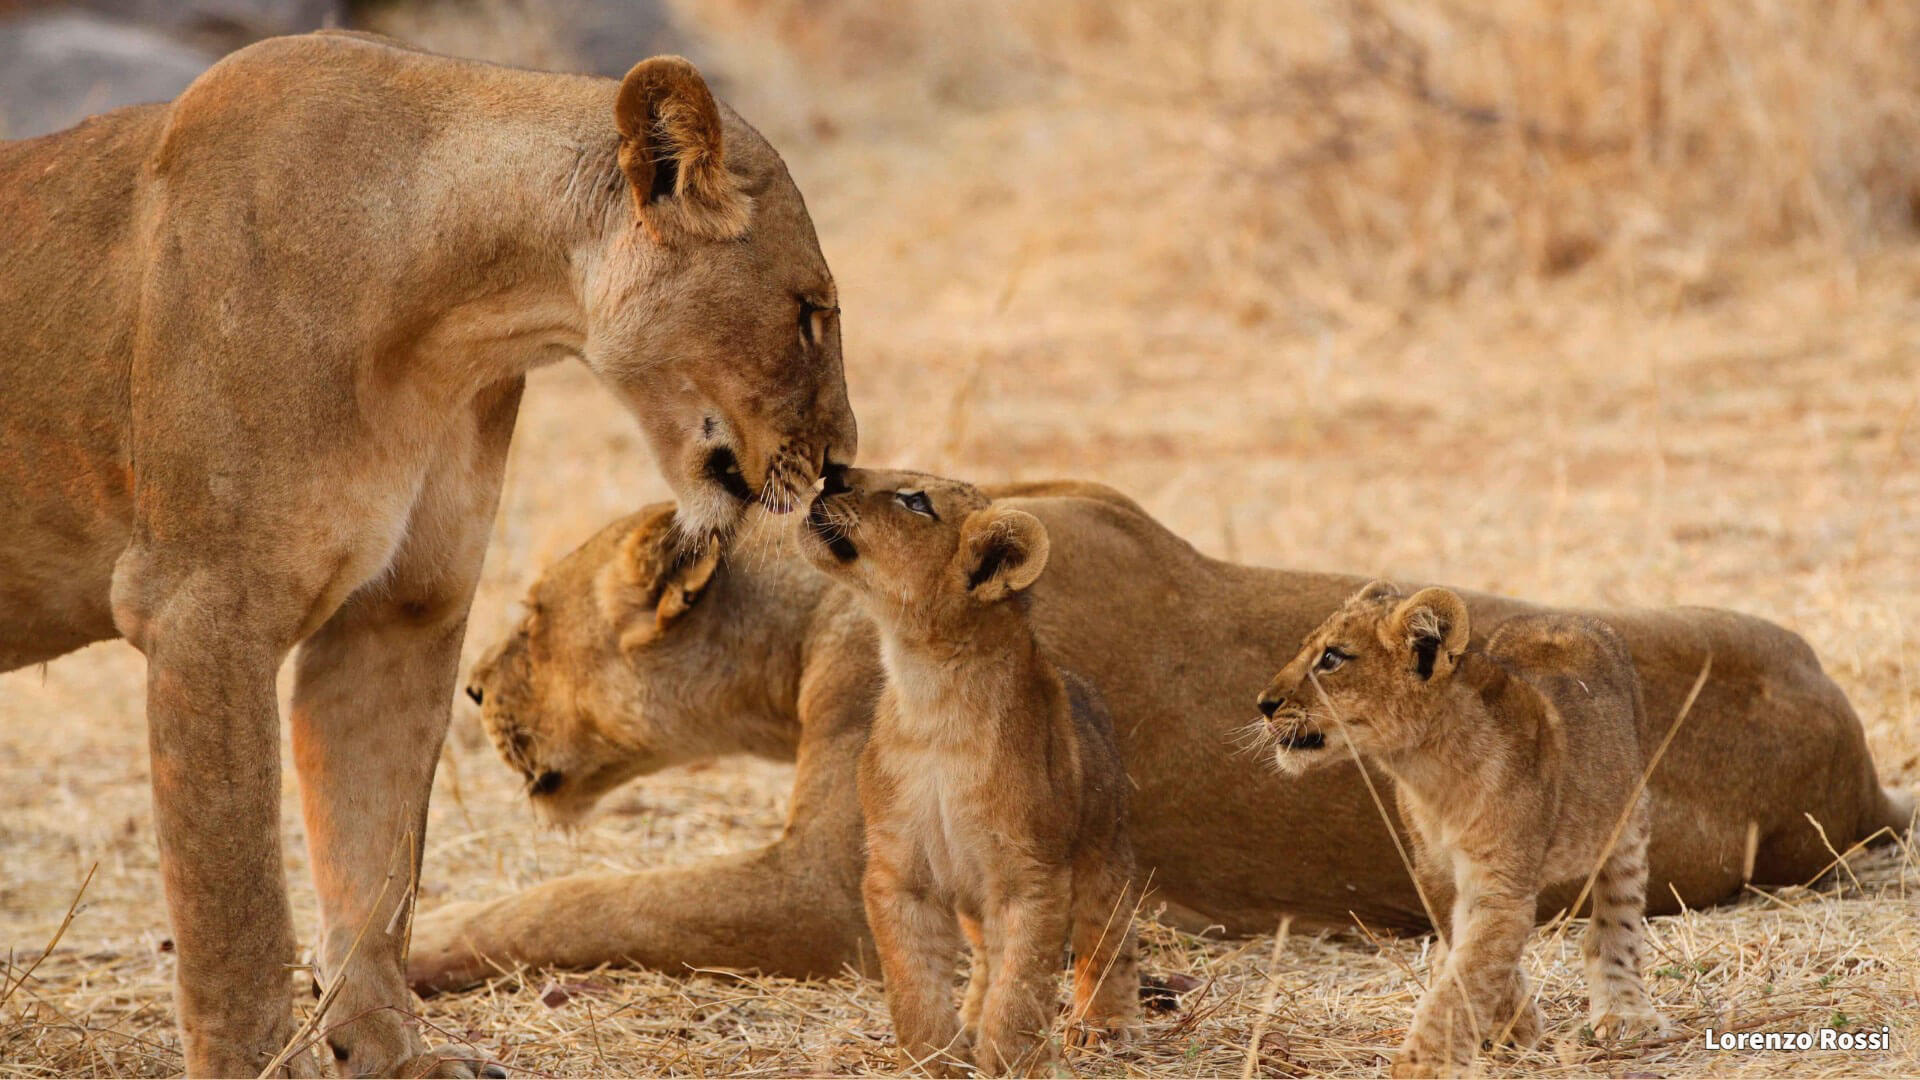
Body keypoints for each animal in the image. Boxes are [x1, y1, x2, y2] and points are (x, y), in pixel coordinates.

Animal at [0, 31, 854, 1078]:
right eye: (810, 311)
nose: (844, 457)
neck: (457, 314)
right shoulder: (202, 609)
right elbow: (236, 899)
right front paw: (258, 1058)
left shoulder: (401, 614)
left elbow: (374, 870)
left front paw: (392, 1054)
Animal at [412, 479, 1910, 995]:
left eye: (531, 614)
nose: (471, 695)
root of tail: (1867, 777)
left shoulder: (837, 887)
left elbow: (580, 903)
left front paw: (399, 957)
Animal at [798, 469, 1140, 1074]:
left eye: (915, 501)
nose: (832, 472)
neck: (931, 693)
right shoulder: (900, 871)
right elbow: (914, 984)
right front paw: (932, 1059)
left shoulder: (1031, 876)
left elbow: (1021, 986)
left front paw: (1007, 1061)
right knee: (983, 957)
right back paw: (972, 1017)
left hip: (1105, 854)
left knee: (1107, 940)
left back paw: (1103, 1026)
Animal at [1256, 582, 1667, 1077]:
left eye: (1332, 658)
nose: (1263, 705)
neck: (1427, 769)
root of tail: (1562, 614)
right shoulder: (1434, 873)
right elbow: (1475, 959)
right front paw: (1513, 1027)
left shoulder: (1500, 884)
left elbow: (1468, 976)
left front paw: (1423, 1063)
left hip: (1628, 819)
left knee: (1615, 920)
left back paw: (1626, 1013)